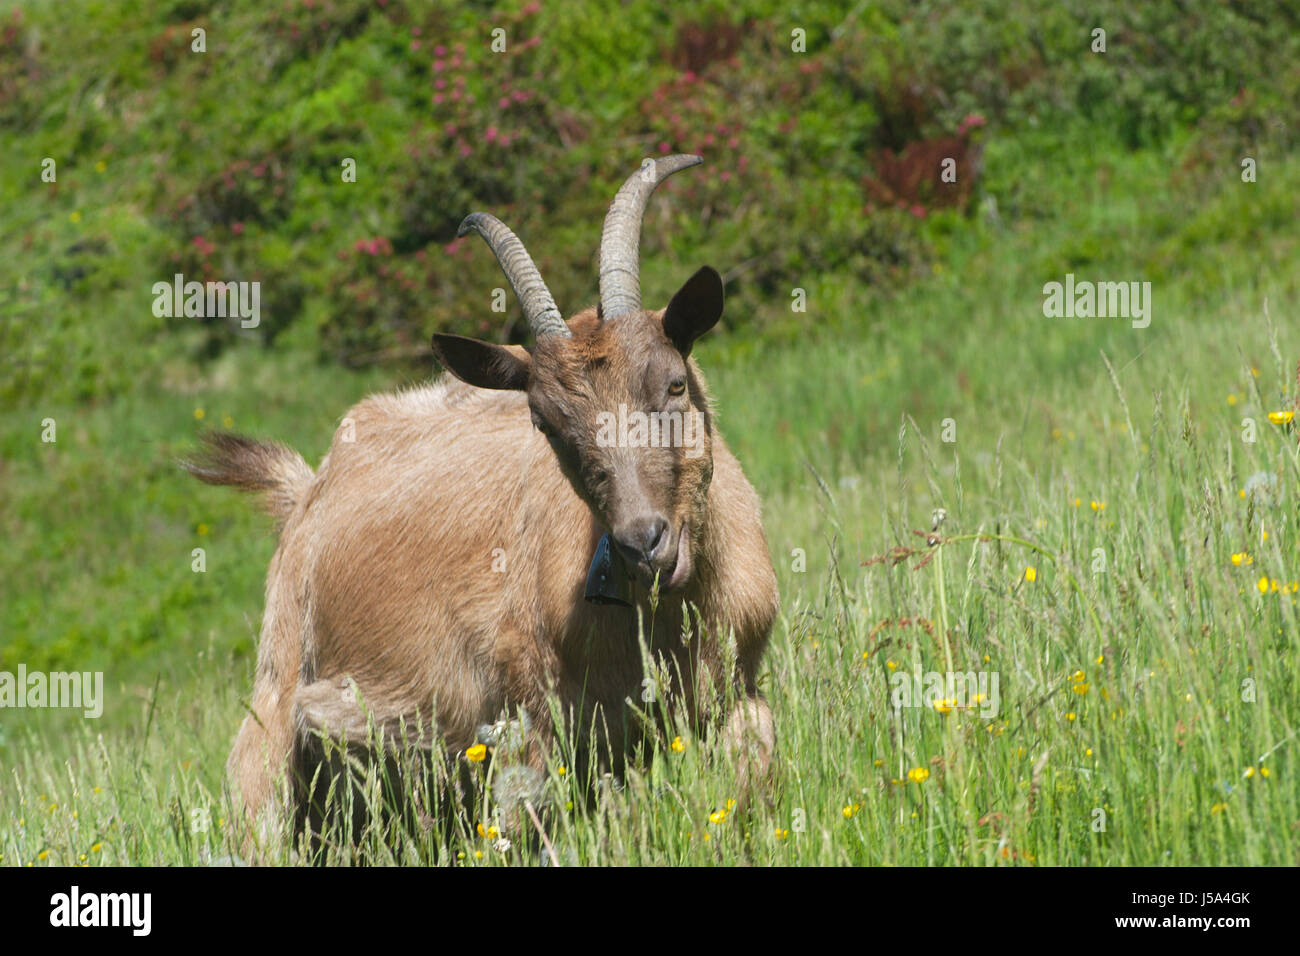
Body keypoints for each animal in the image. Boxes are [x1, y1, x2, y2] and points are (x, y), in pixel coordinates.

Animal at [185, 156, 779, 846]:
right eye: (546, 424)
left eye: (675, 384)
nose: (643, 543)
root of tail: (306, 487)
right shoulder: (531, 726)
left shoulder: (737, 689)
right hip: (278, 693)